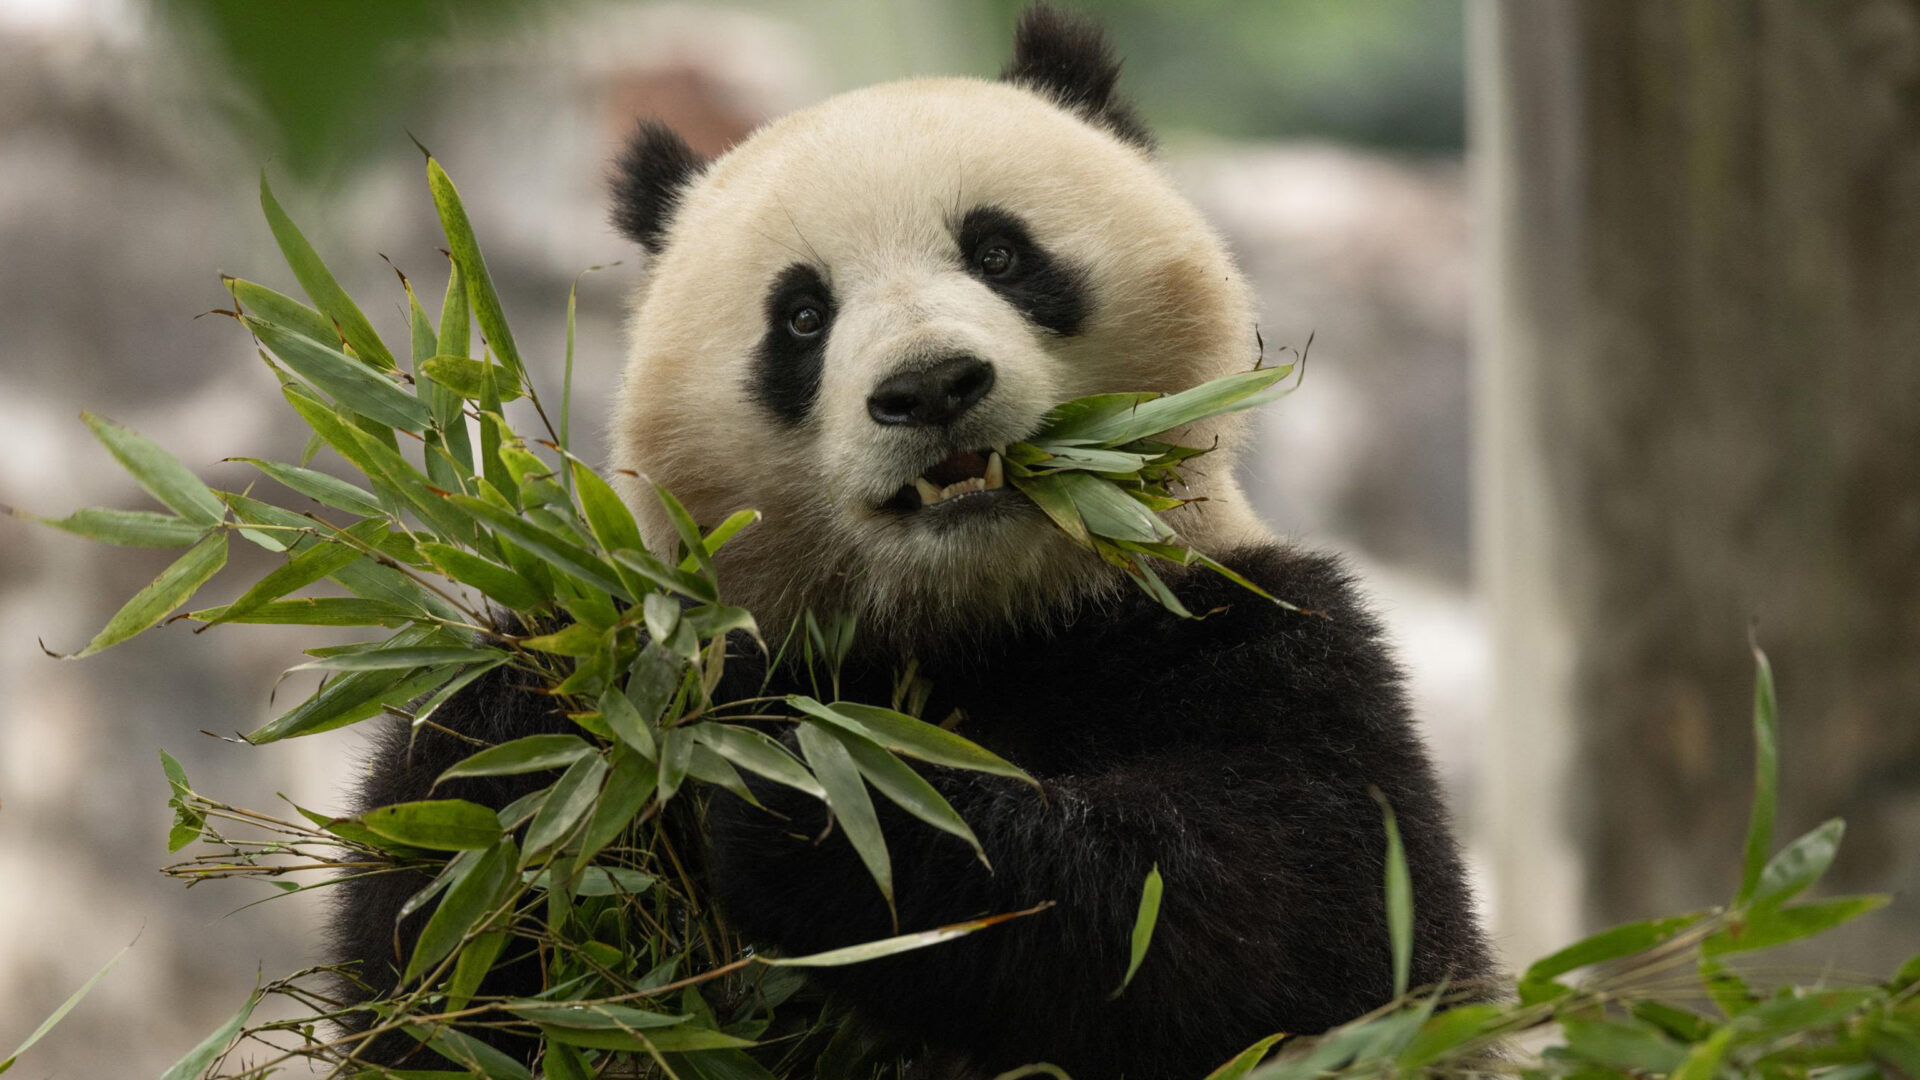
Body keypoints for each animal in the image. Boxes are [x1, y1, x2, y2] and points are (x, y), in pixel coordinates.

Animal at [331, 5, 1494, 1078]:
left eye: (1000, 252)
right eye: (802, 316)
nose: (931, 386)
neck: (973, 620)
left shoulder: (1263, 637)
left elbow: (1294, 930)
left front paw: (819, 801)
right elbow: (441, 972)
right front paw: (537, 725)